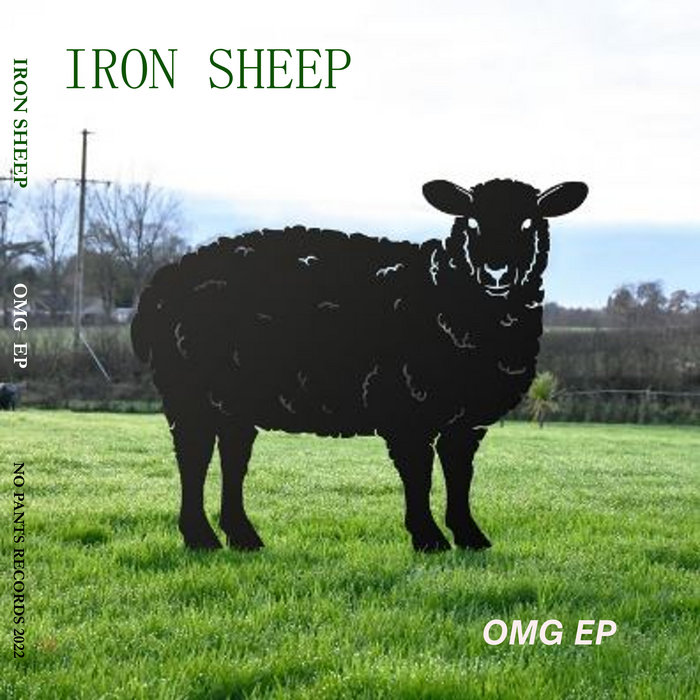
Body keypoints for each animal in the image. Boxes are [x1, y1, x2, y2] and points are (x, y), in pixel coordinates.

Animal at [131, 178, 588, 552]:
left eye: (529, 223)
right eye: (472, 222)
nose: (496, 273)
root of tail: (161, 283)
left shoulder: (465, 420)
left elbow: (460, 475)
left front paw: (470, 537)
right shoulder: (407, 408)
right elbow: (419, 475)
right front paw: (428, 539)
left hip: (231, 401)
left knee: (232, 458)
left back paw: (242, 537)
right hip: (189, 394)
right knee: (194, 458)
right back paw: (200, 538)